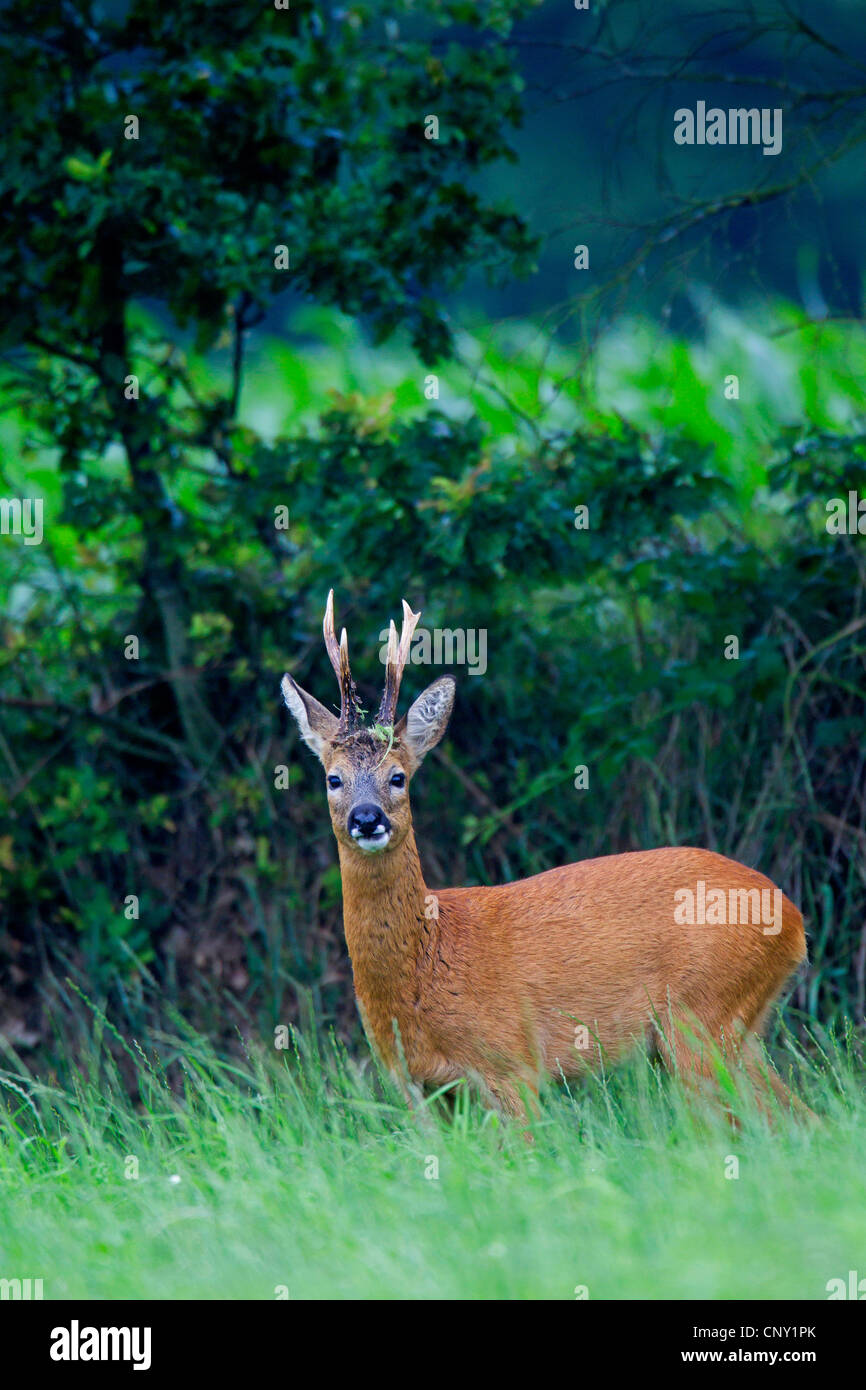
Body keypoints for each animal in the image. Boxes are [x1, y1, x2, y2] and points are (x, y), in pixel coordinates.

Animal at [281, 592, 809, 1124]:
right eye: (333, 778)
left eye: (398, 776)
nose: (366, 818)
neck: (427, 965)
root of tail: (793, 919)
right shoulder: (417, 1089)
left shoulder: (512, 1061)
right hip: (731, 1031)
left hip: (702, 1016)